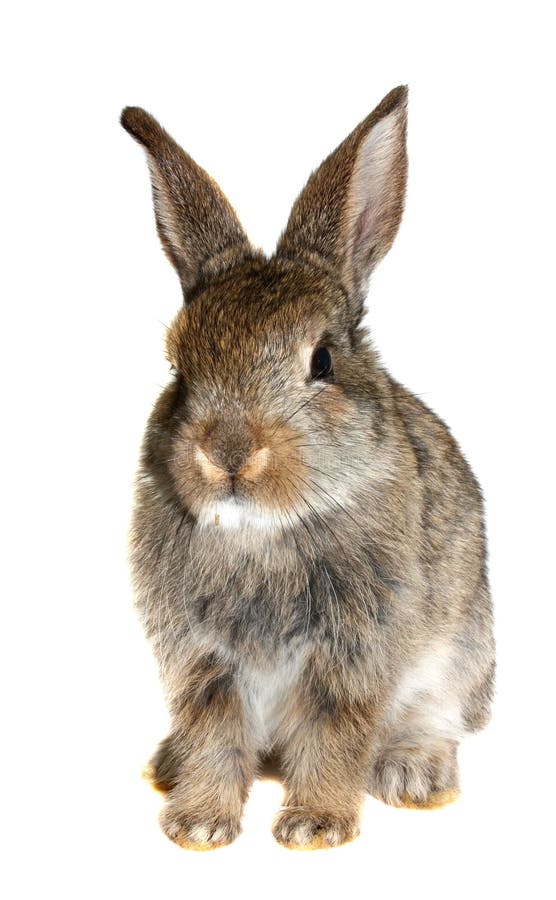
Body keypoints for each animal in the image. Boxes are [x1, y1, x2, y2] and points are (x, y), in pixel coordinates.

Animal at [121, 85, 494, 851]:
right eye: (178, 369)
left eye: (321, 361)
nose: (228, 453)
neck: (262, 531)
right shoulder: (203, 664)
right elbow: (213, 735)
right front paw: (198, 825)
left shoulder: (352, 656)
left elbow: (333, 733)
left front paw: (314, 827)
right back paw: (166, 768)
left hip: (461, 653)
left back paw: (415, 776)